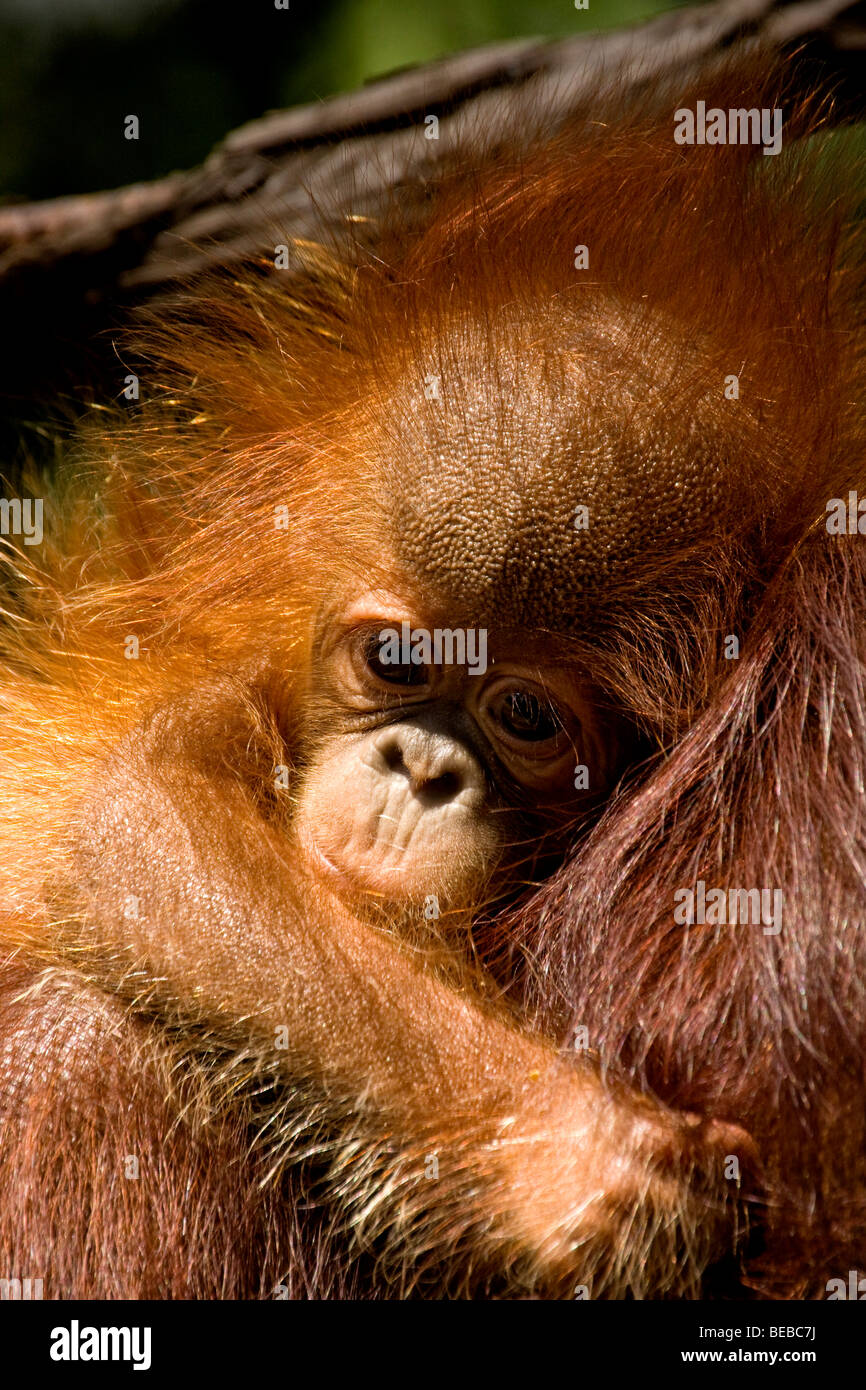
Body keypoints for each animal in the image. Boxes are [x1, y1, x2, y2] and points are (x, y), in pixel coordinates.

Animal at [0, 56, 864, 1299]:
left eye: (523, 714)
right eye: (397, 663)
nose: (419, 768)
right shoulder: (249, 671)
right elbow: (144, 830)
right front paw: (571, 1158)